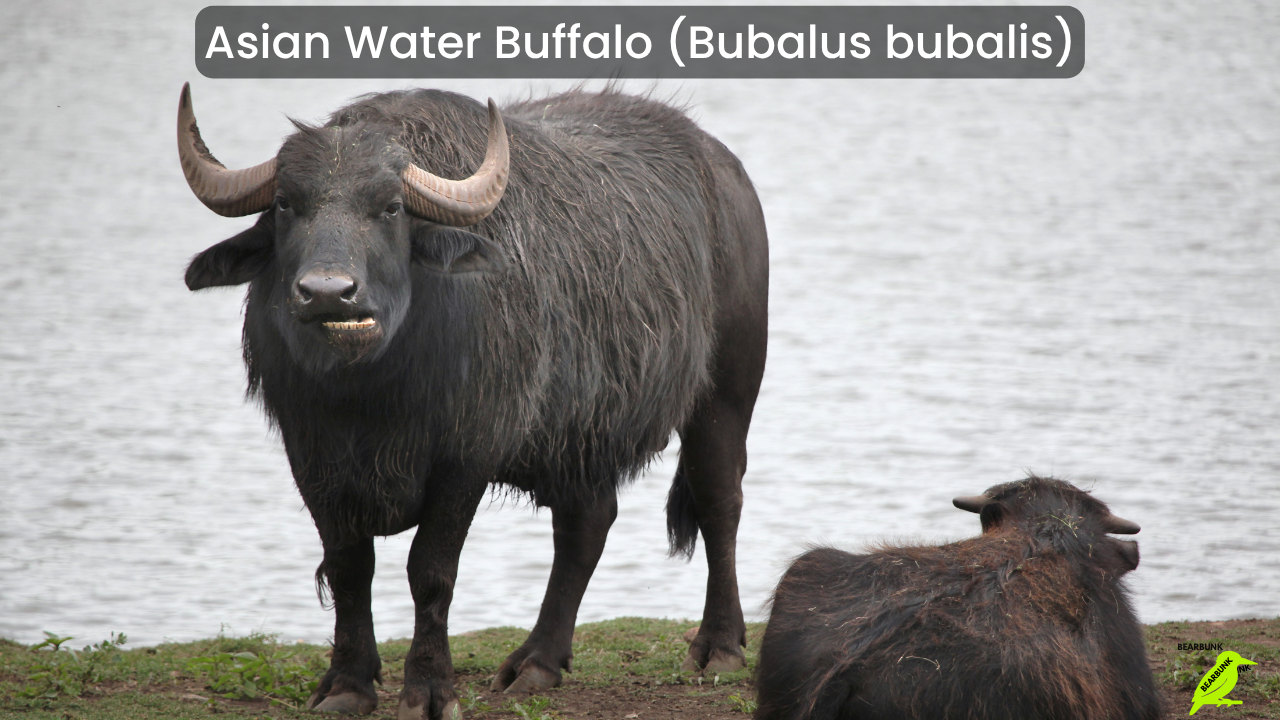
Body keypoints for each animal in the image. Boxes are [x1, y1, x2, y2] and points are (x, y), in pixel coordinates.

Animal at [177, 84, 768, 719]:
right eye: (287, 204)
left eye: (391, 207)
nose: (328, 293)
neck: (369, 394)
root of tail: (727, 173)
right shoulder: (309, 453)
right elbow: (349, 568)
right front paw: (347, 684)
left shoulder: (466, 457)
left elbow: (431, 571)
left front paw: (429, 689)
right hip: (579, 435)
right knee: (586, 525)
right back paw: (537, 661)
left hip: (726, 395)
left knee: (719, 501)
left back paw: (719, 646)